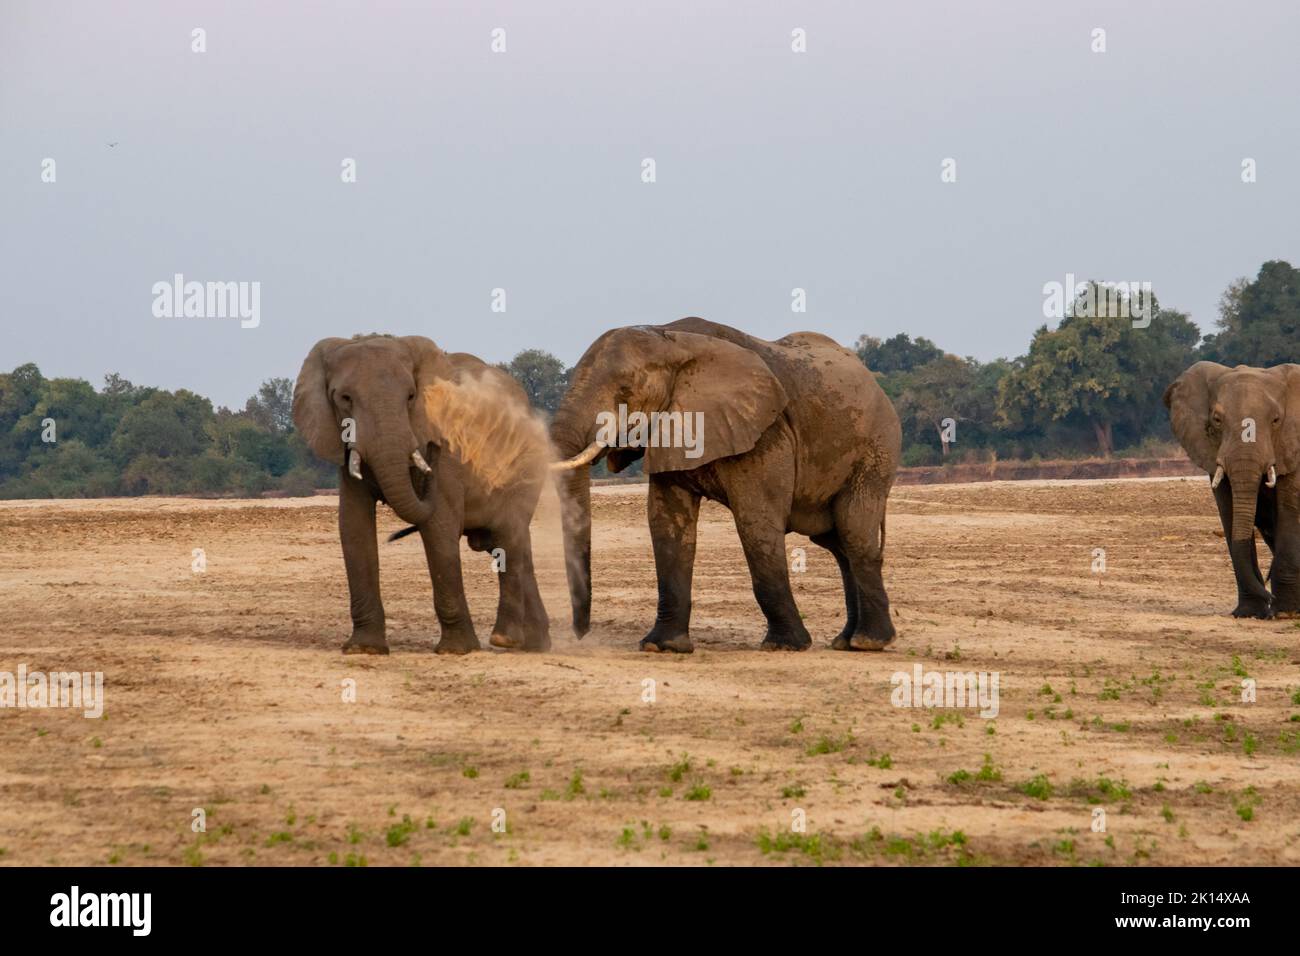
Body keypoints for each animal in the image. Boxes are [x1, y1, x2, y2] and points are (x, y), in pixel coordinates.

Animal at [293, 334, 551, 654]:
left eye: (411, 397)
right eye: (344, 398)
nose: (433, 449)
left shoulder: (450, 458)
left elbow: (439, 527)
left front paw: (456, 651)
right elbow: (354, 527)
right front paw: (364, 649)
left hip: (524, 468)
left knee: (509, 537)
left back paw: (506, 639)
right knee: (510, 544)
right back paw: (536, 644)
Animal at [550, 317, 902, 653]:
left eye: (624, 391)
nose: (581, 635)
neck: (671, 338)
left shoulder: (764, 434)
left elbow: (755, 521)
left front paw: (784, 645)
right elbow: (667, 525)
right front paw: (662, 646)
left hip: (876, 448)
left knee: (854, 530)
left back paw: (869, 642)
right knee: (837, 543)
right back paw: (846, 641)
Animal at [1164, 361, 1300, 618]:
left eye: (1276, 420)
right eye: (1217, 420)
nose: (1269, 599)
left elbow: (1290, 512)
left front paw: (1286, 614)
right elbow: (1229, 511)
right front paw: (1249, 613)